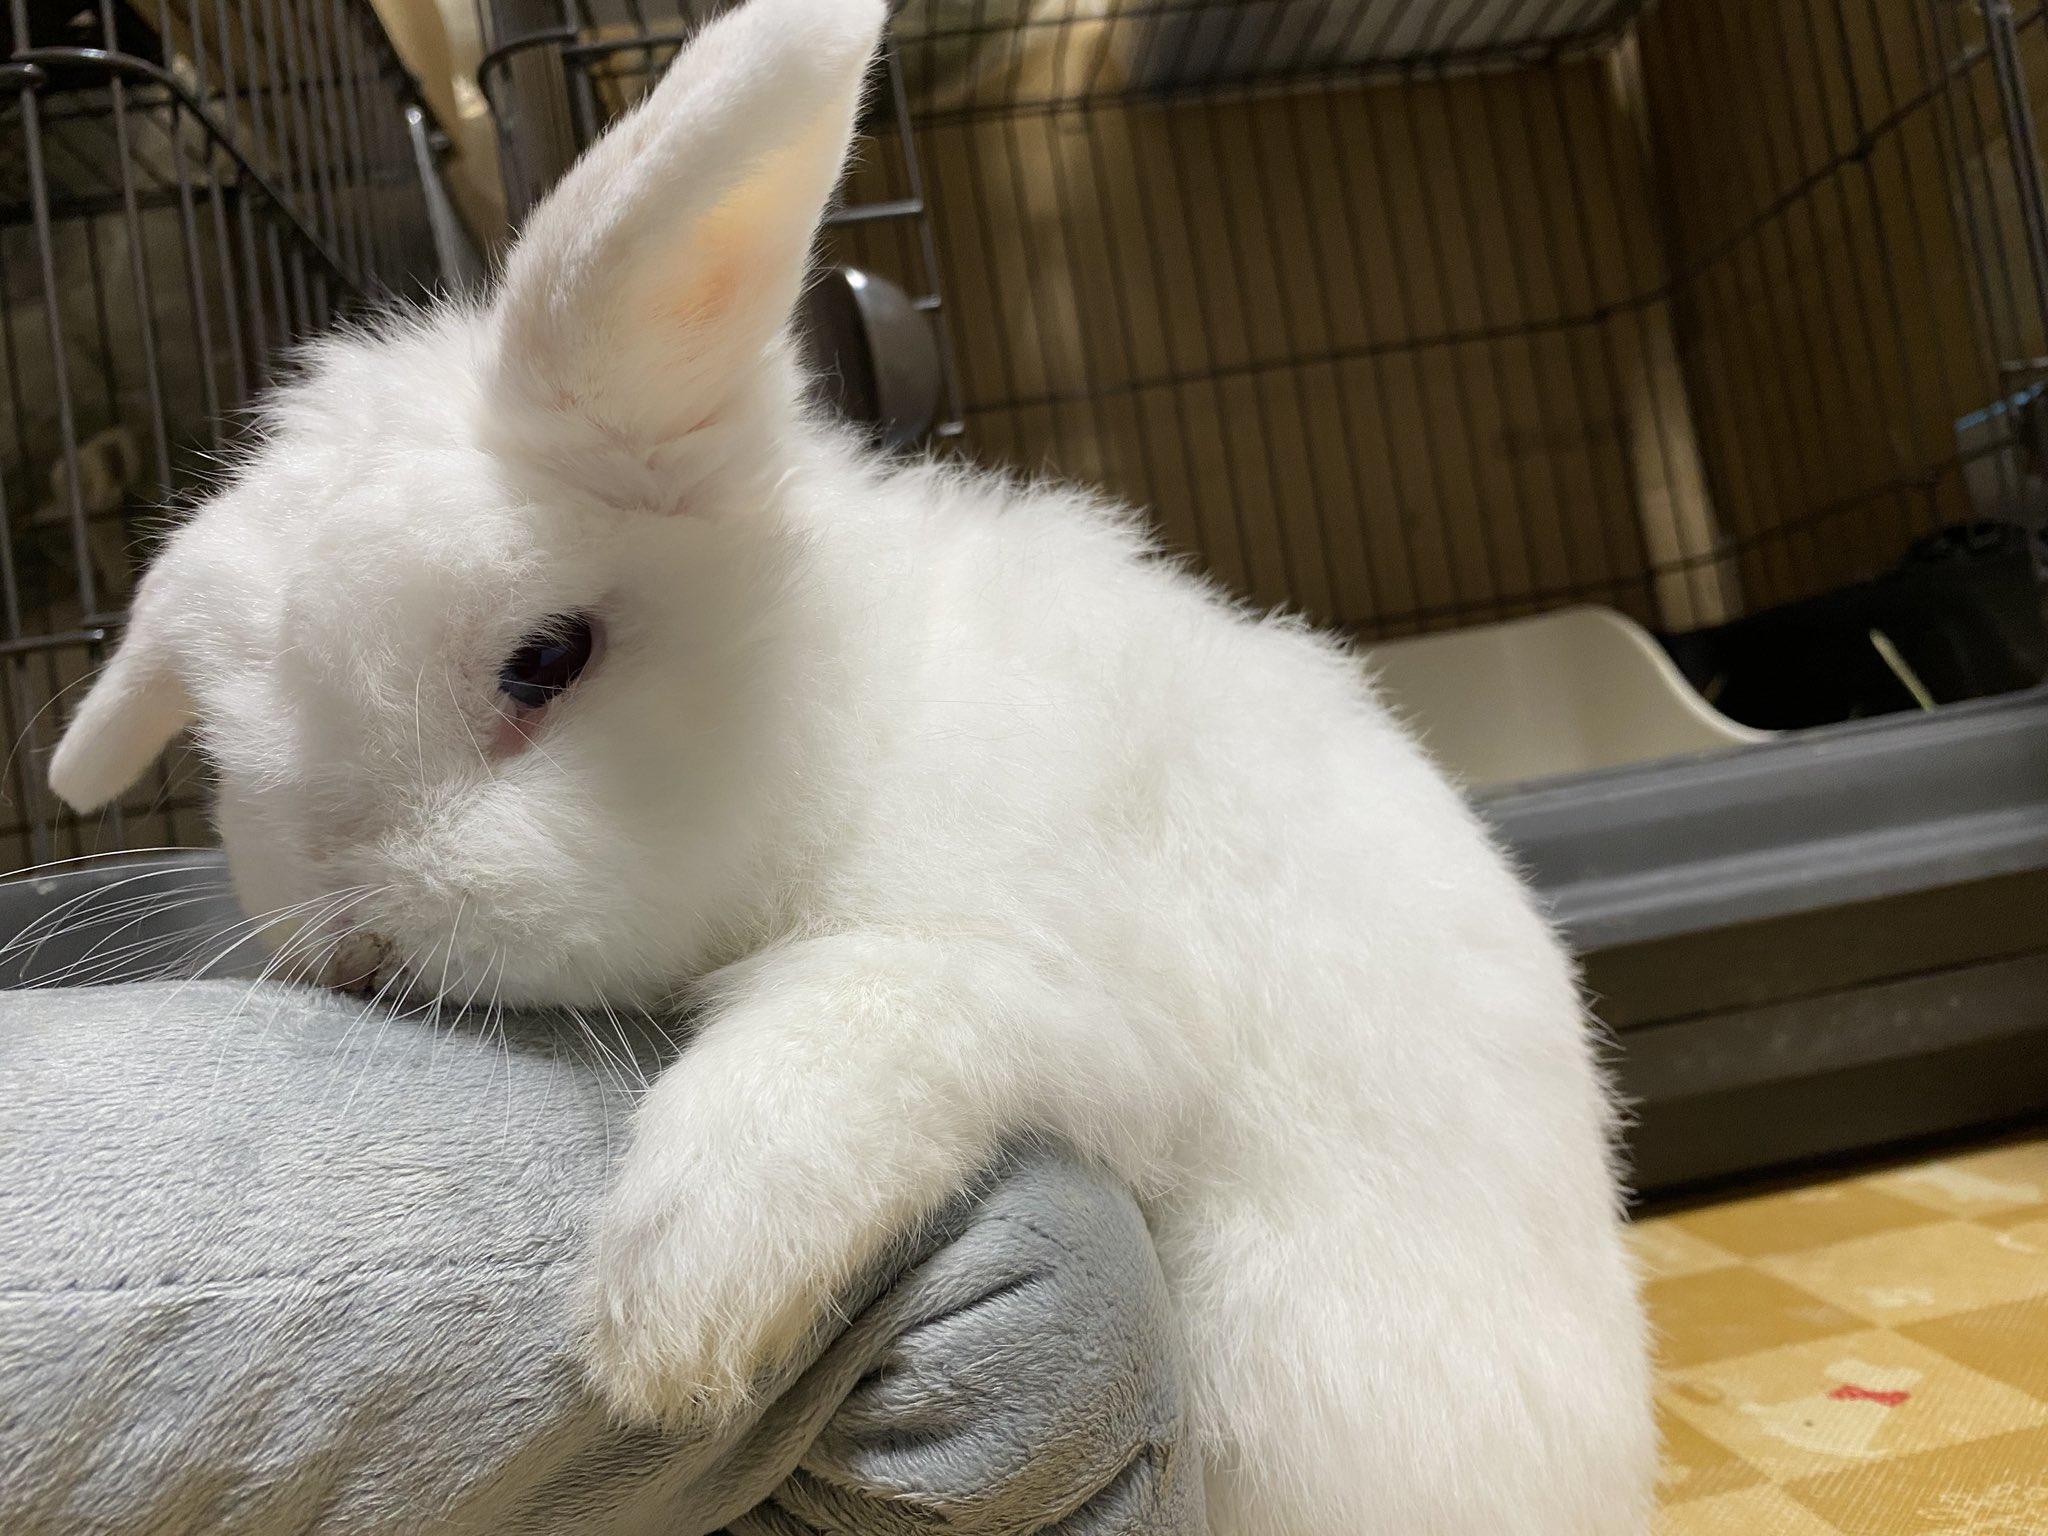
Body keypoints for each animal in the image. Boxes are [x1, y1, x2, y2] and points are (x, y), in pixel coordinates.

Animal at [46, 1, 1656, 1530]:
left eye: (545, 660)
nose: (358, 947)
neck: (850, 714)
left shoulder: (1017, 967)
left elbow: (827, 1054)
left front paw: (660, 1320)